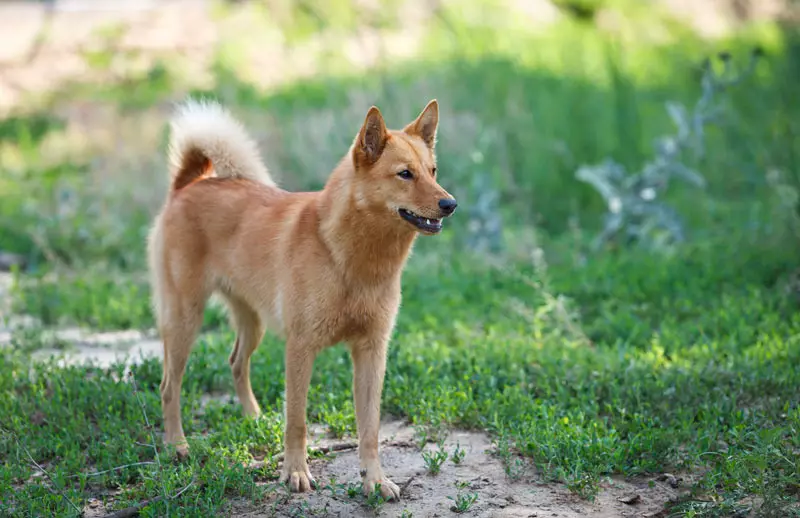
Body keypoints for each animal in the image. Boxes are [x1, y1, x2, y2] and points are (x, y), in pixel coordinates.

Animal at [145, 96, 456, 500]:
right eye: (405, 174)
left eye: (433, 171)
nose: (451, 204)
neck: (350, 257)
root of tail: (189, 184)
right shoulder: (300, 349)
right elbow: (297, 420)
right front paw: (295, 473)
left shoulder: (372, 352)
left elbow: (370, 428)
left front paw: (374, 480)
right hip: (185, 320)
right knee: (169, 386)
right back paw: (177, 446)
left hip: (252, 322)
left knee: (236, 362)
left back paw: (255, 420)